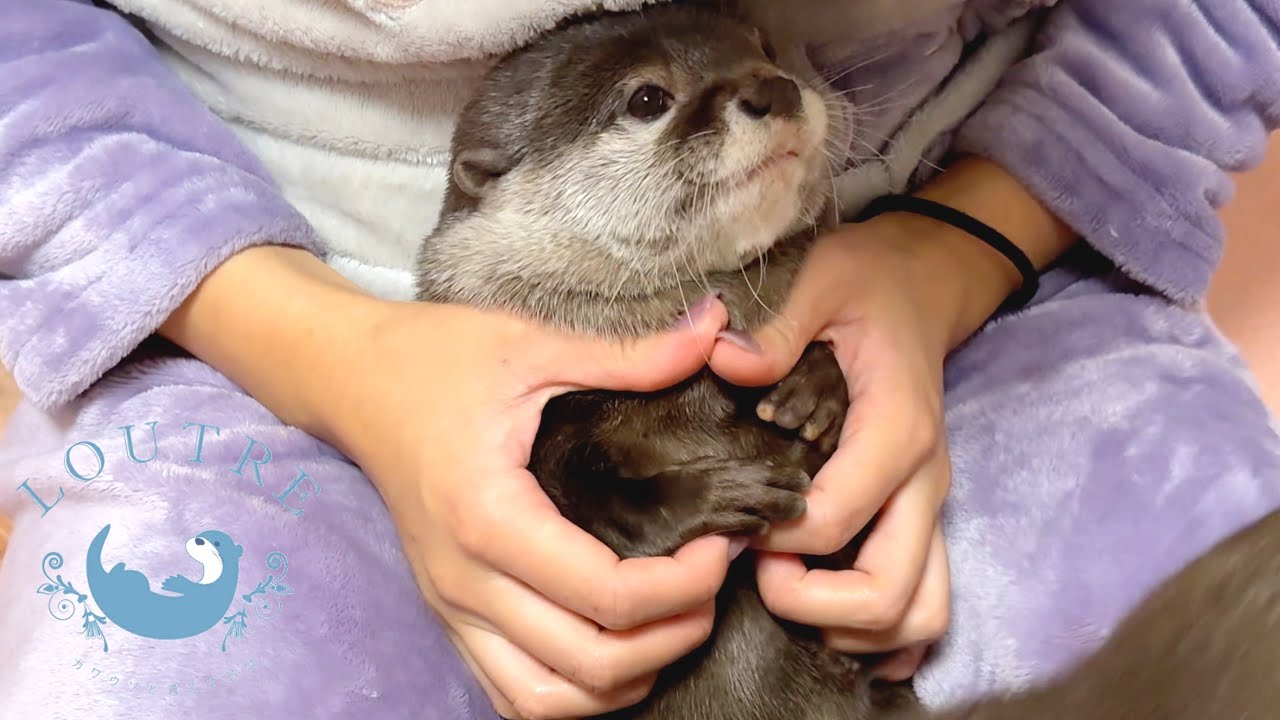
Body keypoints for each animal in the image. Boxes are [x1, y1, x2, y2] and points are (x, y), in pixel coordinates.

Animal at [415, 5, 912, 720]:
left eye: (765, 50)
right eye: (648, 98)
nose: (774, 86)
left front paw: (815, 388)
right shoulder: (559, 414)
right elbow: (579, 491)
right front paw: (716, 496)